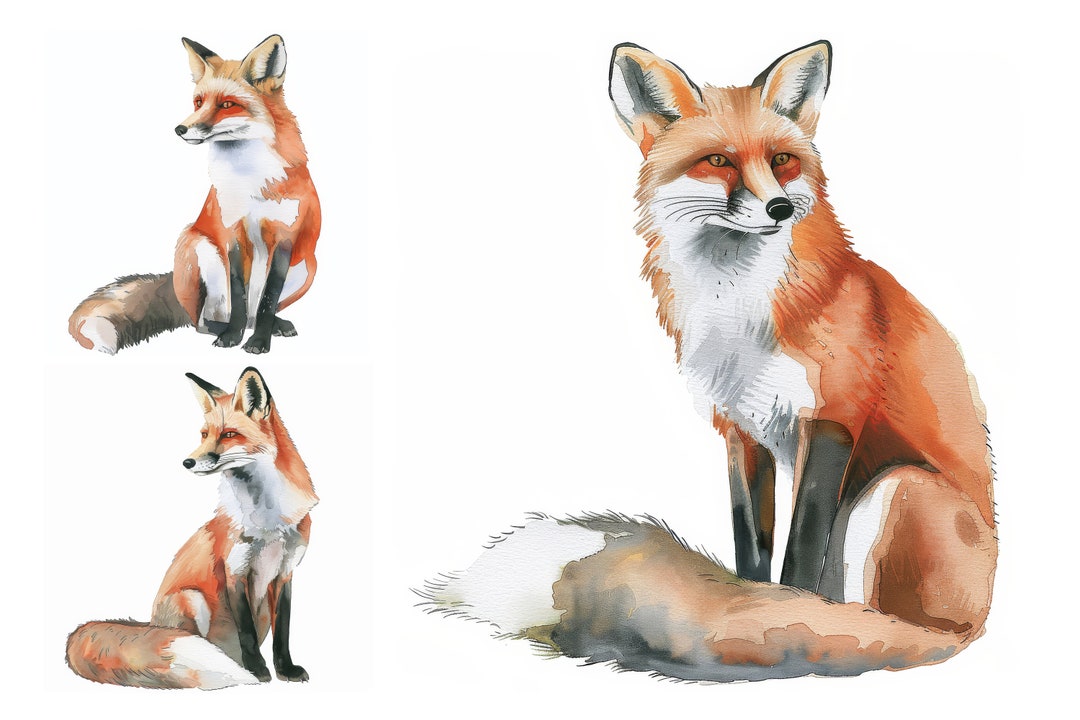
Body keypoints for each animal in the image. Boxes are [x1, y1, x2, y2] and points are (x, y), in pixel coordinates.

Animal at [66, 367, 319, 689]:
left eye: (229, 434)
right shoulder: (235, 569)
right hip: (191, 598)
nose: (187, 462)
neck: (267, 520)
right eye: (204, 434)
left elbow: (282, 631)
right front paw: (257, 672)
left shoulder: (285, 572)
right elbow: (247, 633)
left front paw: (285, 670)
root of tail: (151, 624)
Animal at [68, 35, 320, 355]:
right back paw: (224, 328)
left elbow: (268, 300)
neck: (249, 182)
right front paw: (232, 337)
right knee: (202, 320)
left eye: (227, 105)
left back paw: (273, 325)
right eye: (199, 102)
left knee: (256, 312)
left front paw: (259, 341)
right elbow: (238, 293)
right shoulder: (230, 231)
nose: (180, 128)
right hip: (199, 245)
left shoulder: (285, 235)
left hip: (307, 266)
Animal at [418, 41, 997, 681]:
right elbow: (753, 554)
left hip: (897, 486)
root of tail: (974, 624)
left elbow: (798, 558)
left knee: (878, 628)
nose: (779, 207)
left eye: (783, 160)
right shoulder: (739, 428)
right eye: (718, 160)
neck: (738, 309)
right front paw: (754, 604)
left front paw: (778, 612)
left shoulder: (832, 418)